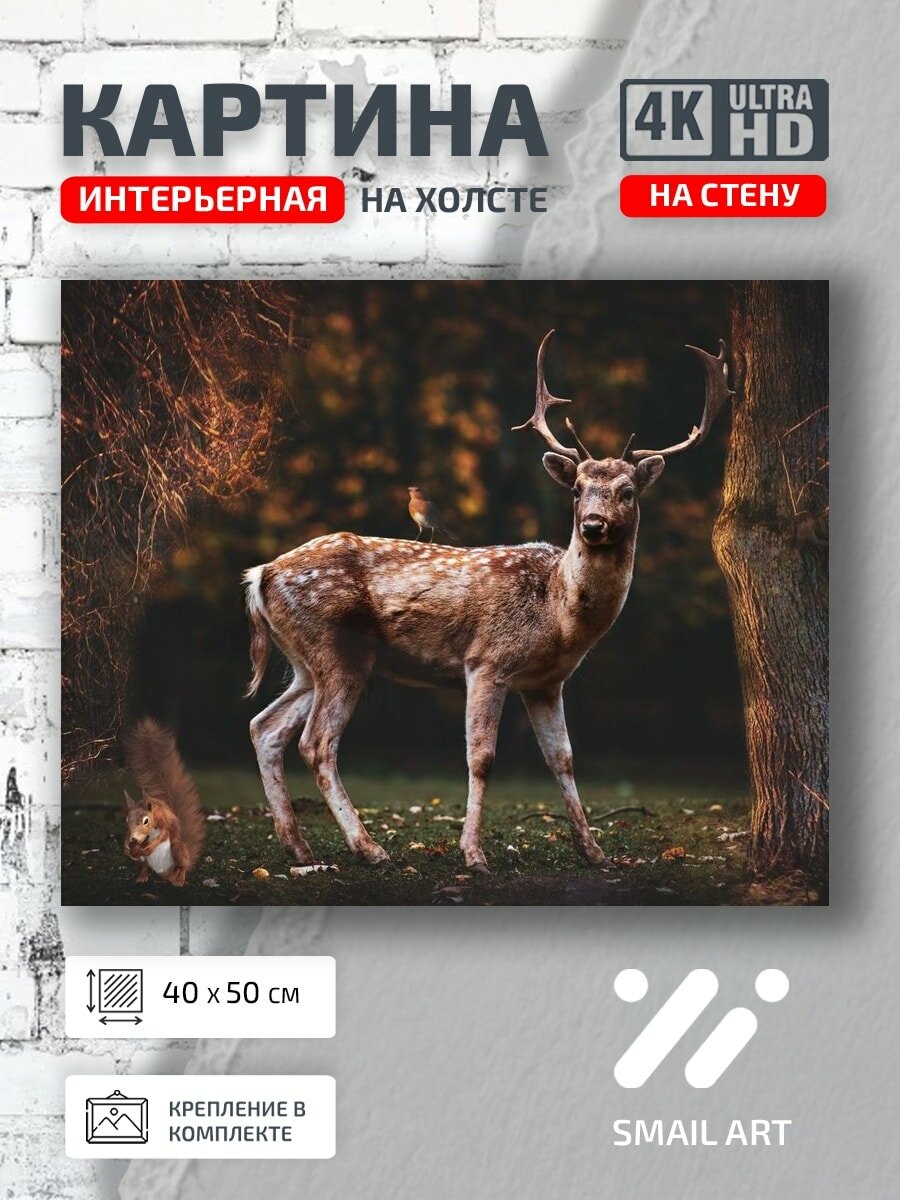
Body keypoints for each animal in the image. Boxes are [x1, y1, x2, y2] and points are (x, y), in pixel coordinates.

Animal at [122, 718, 206, 887]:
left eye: (146, 820)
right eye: (126, 820)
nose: (133, 840)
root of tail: (166, 875)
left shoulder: (165, 822)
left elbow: (163, 834)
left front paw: (150, 845)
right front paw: (126, 846)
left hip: (178, 849)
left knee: (183, 866)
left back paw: (179, 879)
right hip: (145, 861)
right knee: (145, 866)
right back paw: (142, 876)